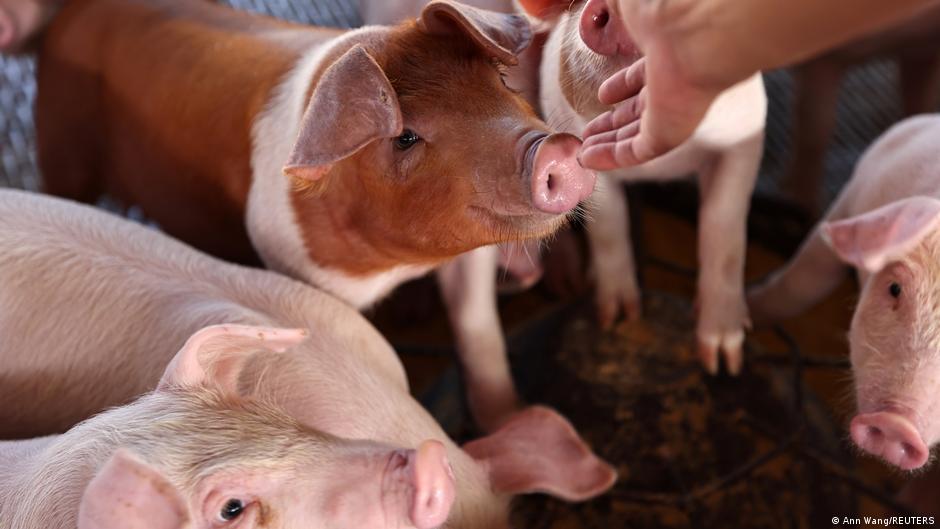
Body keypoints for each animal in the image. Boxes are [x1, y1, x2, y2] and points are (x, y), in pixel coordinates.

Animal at [35, 0, 595, 432]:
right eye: (405, 136)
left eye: (500, 80)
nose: (556, 150)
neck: (397, 266)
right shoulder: (301, 270)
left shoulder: (469, 258)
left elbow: (478, 329)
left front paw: (512, 418)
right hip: (61, 143)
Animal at [514, 0, 767, 375]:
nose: (625, 9)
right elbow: (608, 224)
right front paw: (618, 319)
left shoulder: (746, 134)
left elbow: (724, 227)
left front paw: (722, 362)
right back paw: (568, 284)